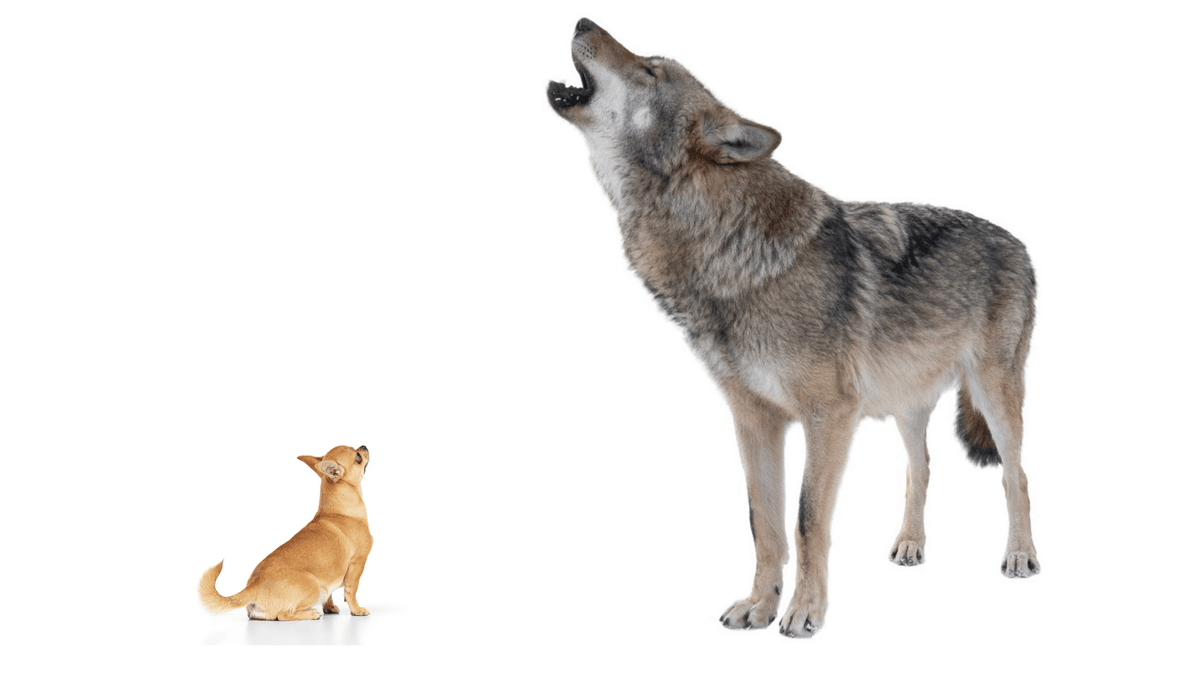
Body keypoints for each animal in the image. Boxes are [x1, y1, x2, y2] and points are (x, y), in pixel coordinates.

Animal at [548, 19, 1039, 637]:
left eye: (650, 71)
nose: (582, 22)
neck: (723, 245)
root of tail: (1017, 241)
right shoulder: (754, 419)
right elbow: (763, 522)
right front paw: (759, 605)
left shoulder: (829, 416)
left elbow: (807, 519)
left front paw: (804, 612)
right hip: (906, 406)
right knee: (920, 468)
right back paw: (909, 544)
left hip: (993, 395)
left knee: (1016, 475)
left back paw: (1020, 555)